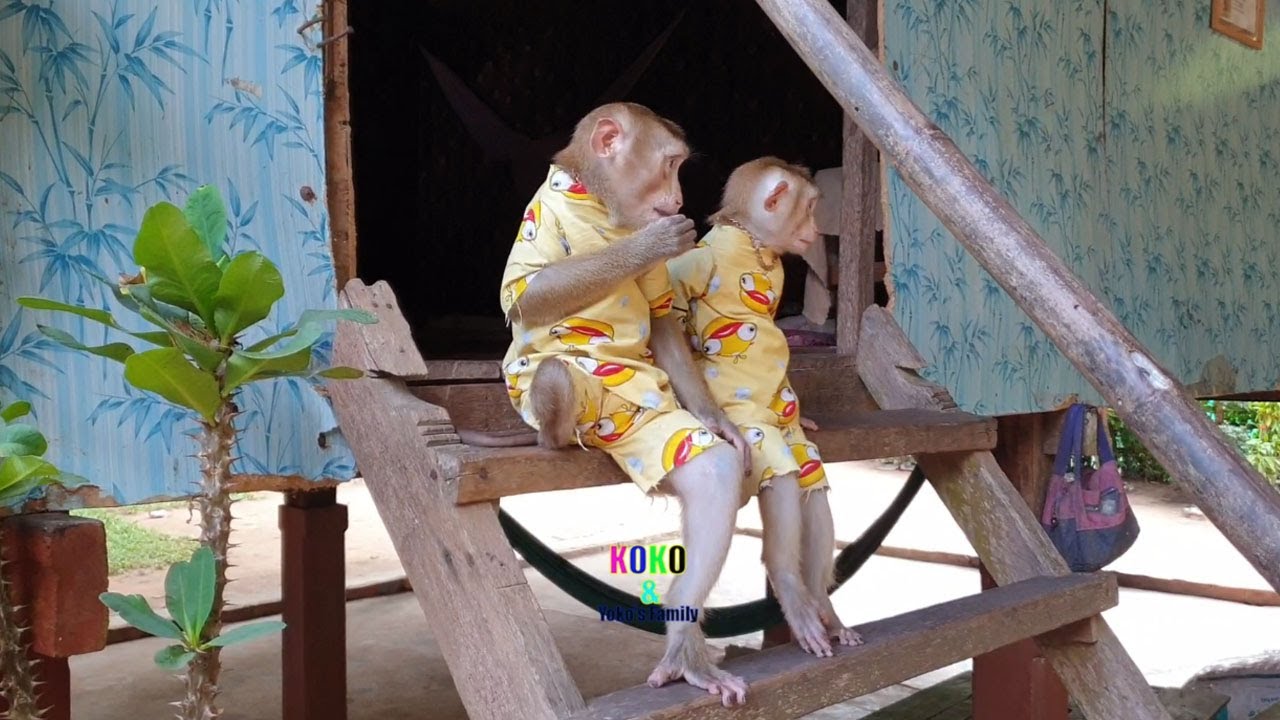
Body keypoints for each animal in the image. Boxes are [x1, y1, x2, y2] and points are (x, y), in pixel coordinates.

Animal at [496, 102, 753, 706]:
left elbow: (661, 322)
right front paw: (649, 245)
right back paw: (553, 436)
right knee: (554, 375)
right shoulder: (540, 214)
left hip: (652, 423)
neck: (598, 203)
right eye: (671, 164)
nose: (679, 200)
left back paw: (685, 643)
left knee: (710, 469)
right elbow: (531, 294)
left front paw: (718, 421)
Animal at [667, 157, 864, 658]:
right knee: (784, 473)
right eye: (810, 208)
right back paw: (790, 587)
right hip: (762, 435)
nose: (814, 229)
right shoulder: (698, 259)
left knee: (811, 479)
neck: (753, 245)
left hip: (796, 441)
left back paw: (824, 609)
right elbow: (672, 315)